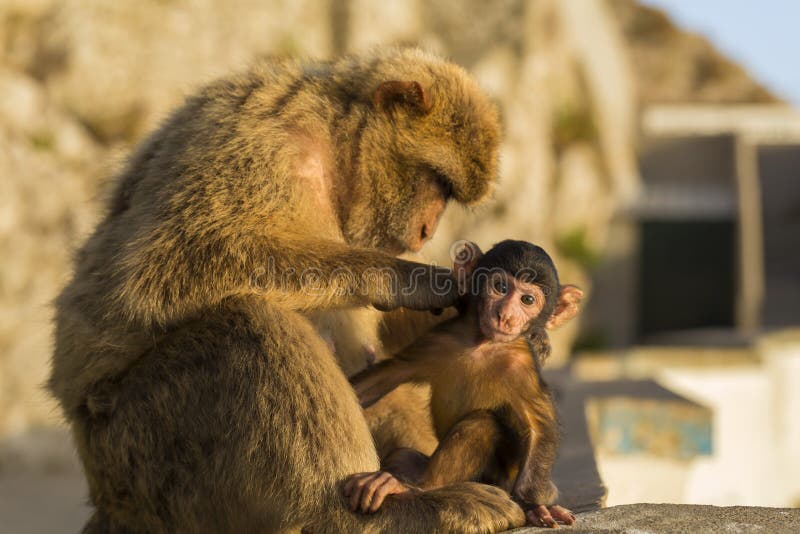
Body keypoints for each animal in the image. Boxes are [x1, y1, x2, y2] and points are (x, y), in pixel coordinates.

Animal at [48, 48, 530, 532]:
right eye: (437, 183)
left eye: (447, 193)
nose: (428, 230)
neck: (331, 148)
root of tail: (109, 503)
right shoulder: (257, 143)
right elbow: (166, 266)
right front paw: (411, 281)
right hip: (142, 451)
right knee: (252, 324)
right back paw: (365, 511)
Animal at [344, 240, 583, 528]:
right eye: (501, 287)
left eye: (527, 300)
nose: (506, 316)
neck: (481, 345)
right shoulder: (439, 340)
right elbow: (385, 376)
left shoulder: (521, 366)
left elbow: (539, 430)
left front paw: (534, 506)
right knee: (404, 456)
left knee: (483, 424)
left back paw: (412, 487)